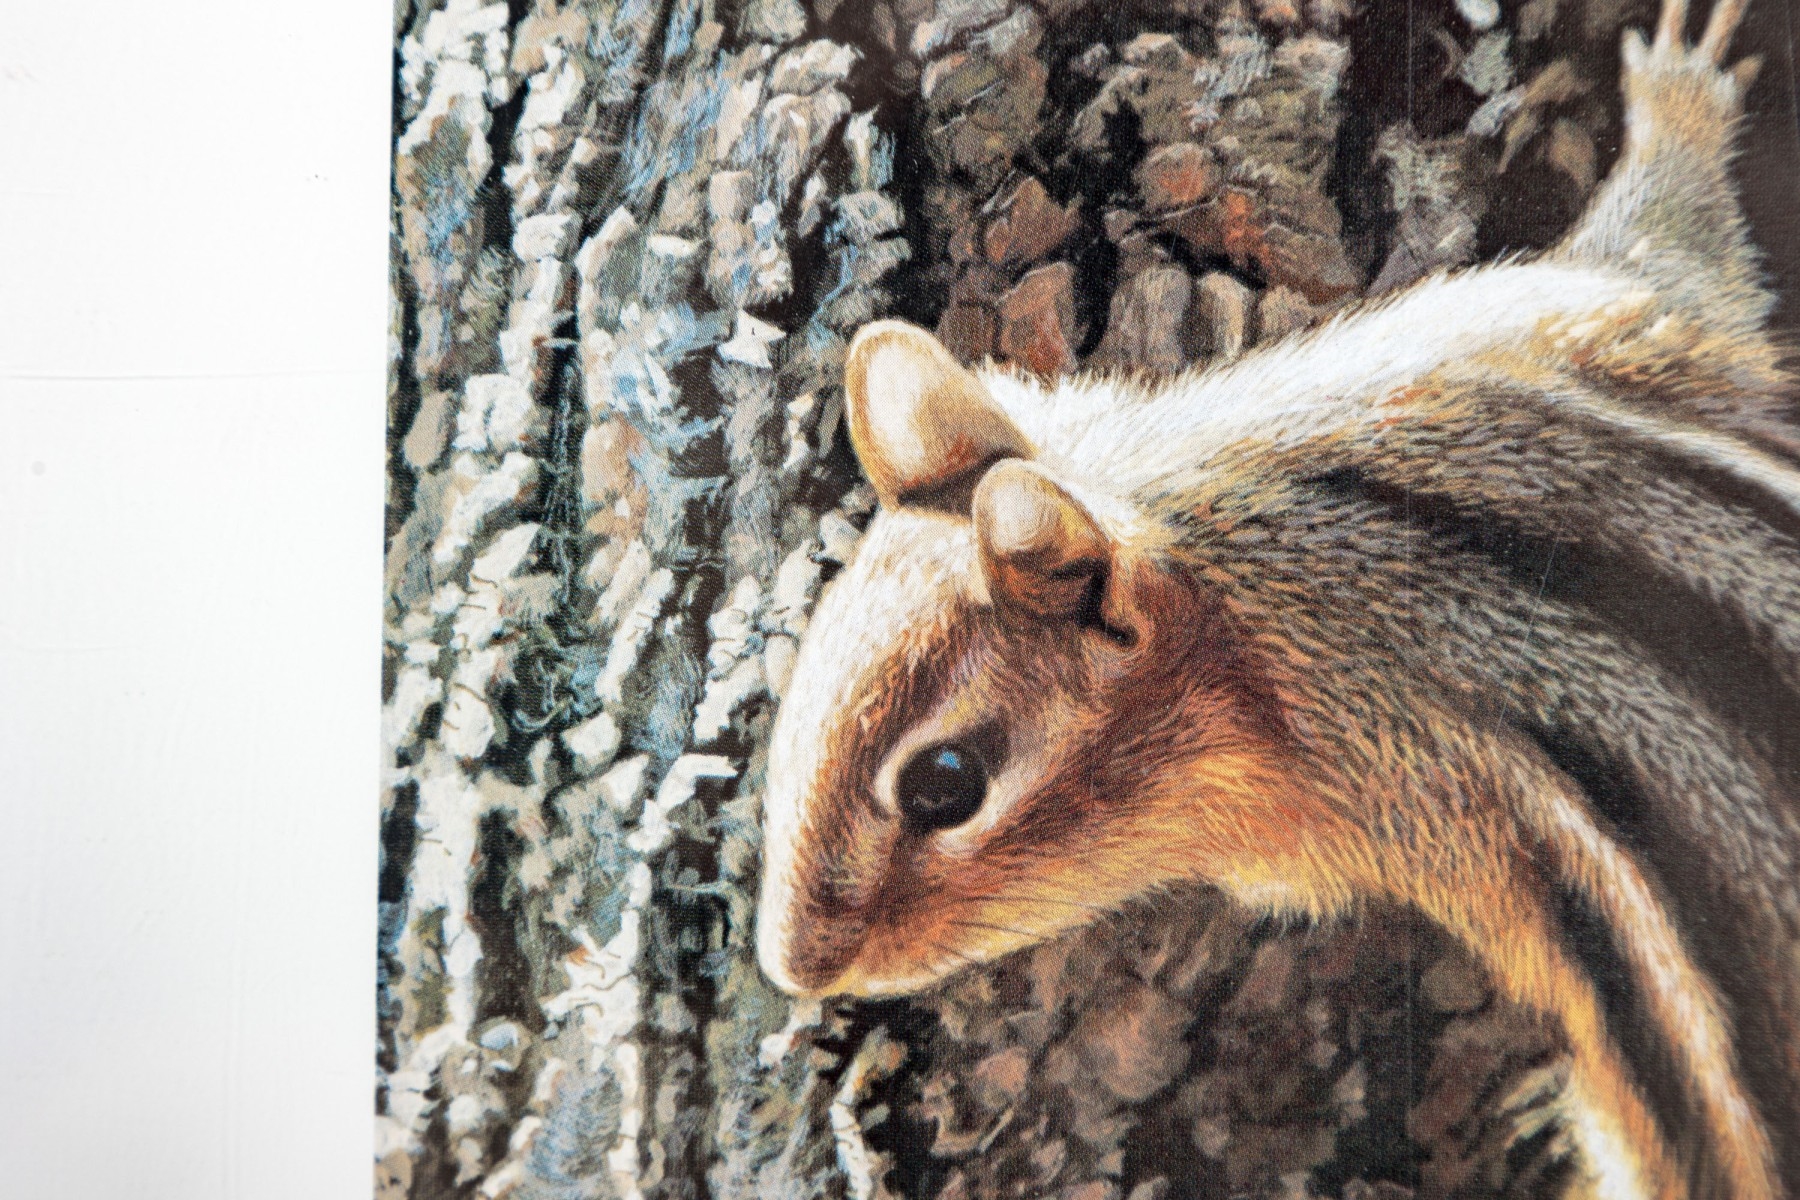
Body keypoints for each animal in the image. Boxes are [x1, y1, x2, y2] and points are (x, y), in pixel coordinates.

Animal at [755, 1, 1798, 1198]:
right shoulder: (1541, 330)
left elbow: (1673, 252)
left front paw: (1681, 85)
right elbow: (1677, 262)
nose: (793, 967)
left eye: (944, 784)